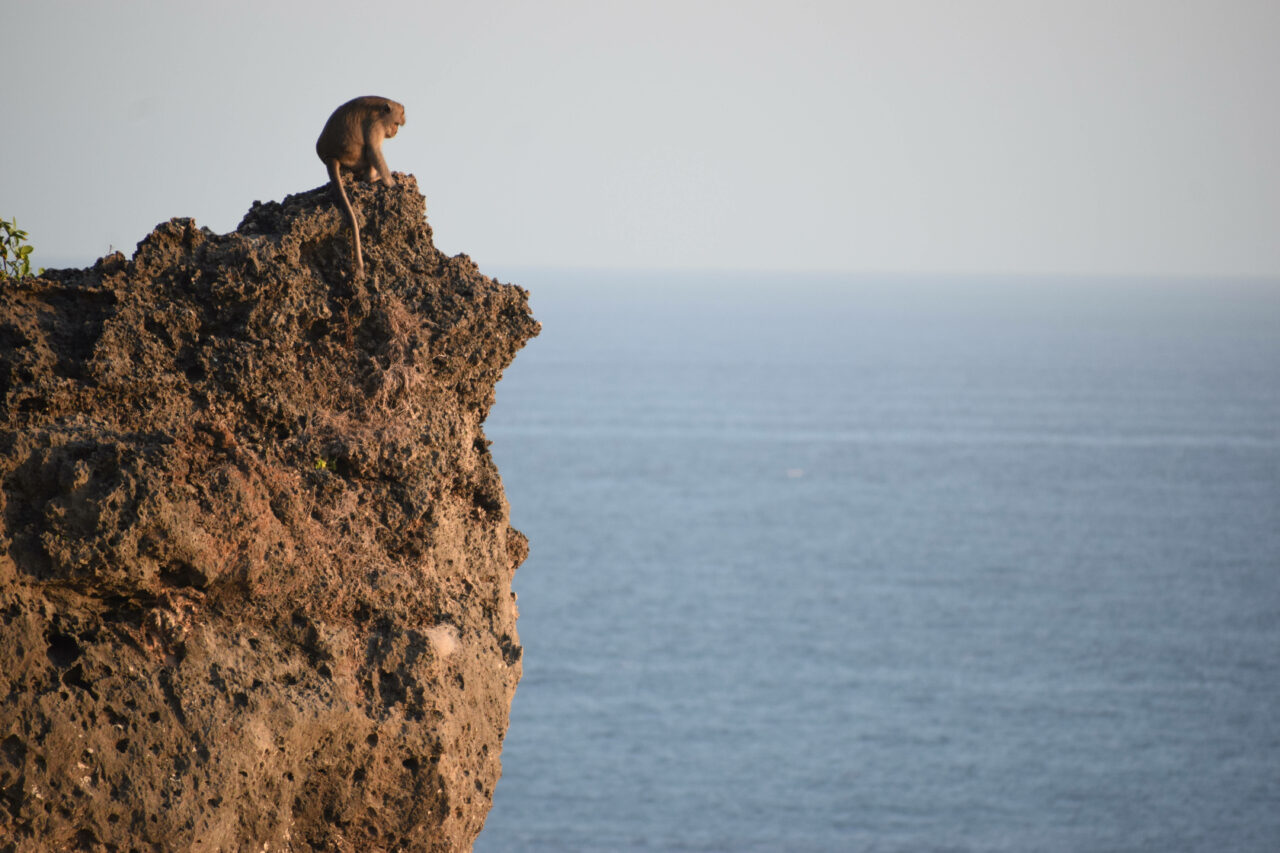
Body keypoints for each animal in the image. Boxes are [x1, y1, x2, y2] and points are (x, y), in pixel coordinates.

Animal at [315, 96, 406, 275]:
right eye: (396, 123)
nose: (395, 131)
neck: (382, 110)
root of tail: (330, 156)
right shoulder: (376, 125)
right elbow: (374, 150)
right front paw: (391, 184)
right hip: (354, 157)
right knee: (368, 153)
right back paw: (372, 179)